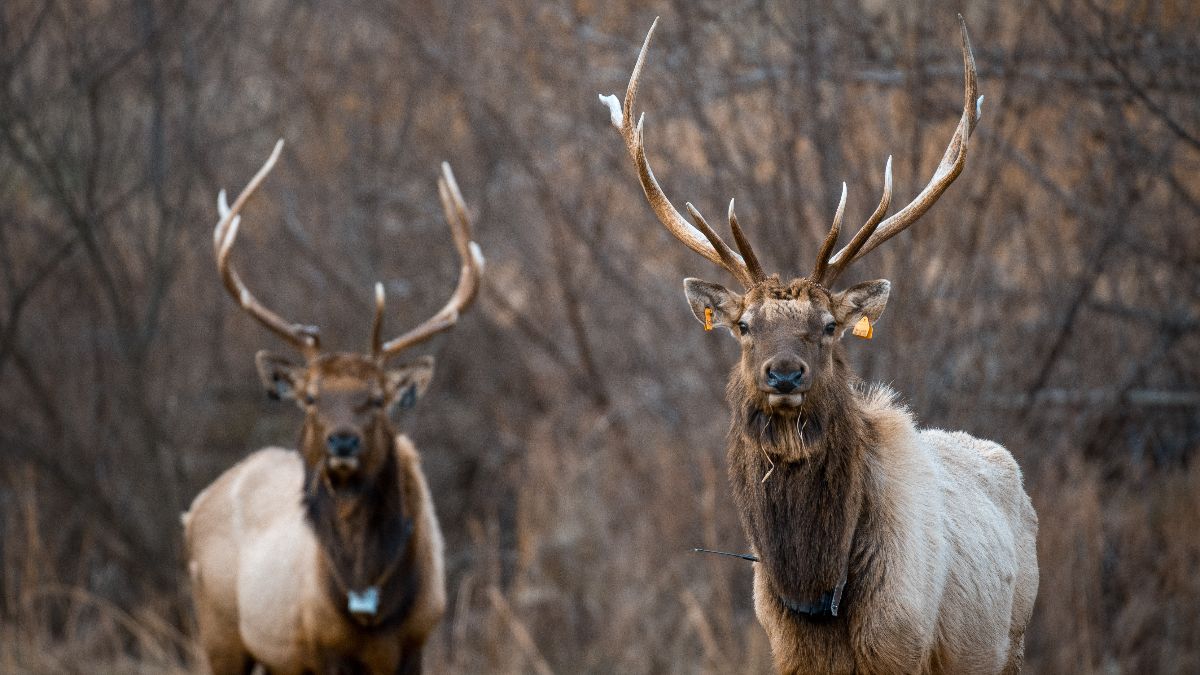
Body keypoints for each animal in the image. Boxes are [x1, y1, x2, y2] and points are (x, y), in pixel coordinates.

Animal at [182, 139, 483, 674]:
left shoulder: (419, 636)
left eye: (378, 399)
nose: (342, 441)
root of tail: (193, 510)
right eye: (311, 398)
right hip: (219, 630)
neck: (369, 601)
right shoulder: (320, 645)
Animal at [601, 17, 1038, 675]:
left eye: (829, 325)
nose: (784, 374)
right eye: (744, 325)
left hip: (1008, 643)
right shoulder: (786, 654)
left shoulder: (904, 649)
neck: (817, 591)